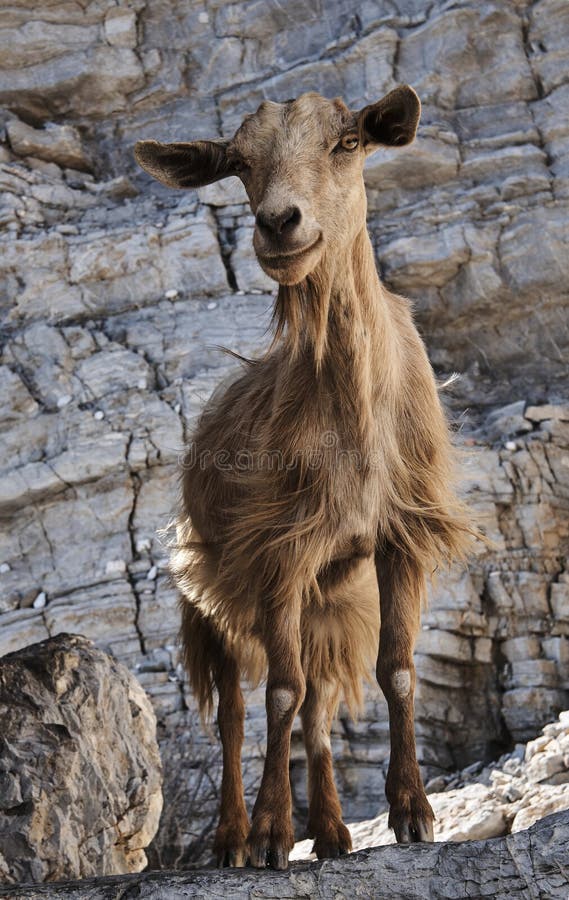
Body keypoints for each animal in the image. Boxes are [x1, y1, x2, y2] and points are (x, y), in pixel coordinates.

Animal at [135, 86, 471, 871]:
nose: (278, 224)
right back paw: (234, 837)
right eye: (238, 163)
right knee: (233, 713)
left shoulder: (397, 538)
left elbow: (395, 669)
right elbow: (278, 696)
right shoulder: (277, 554)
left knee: (318, 710)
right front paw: (268, 834)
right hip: (210, 597)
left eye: (346, 142)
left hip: (326, 603)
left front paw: (413, 812)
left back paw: (334, 832)